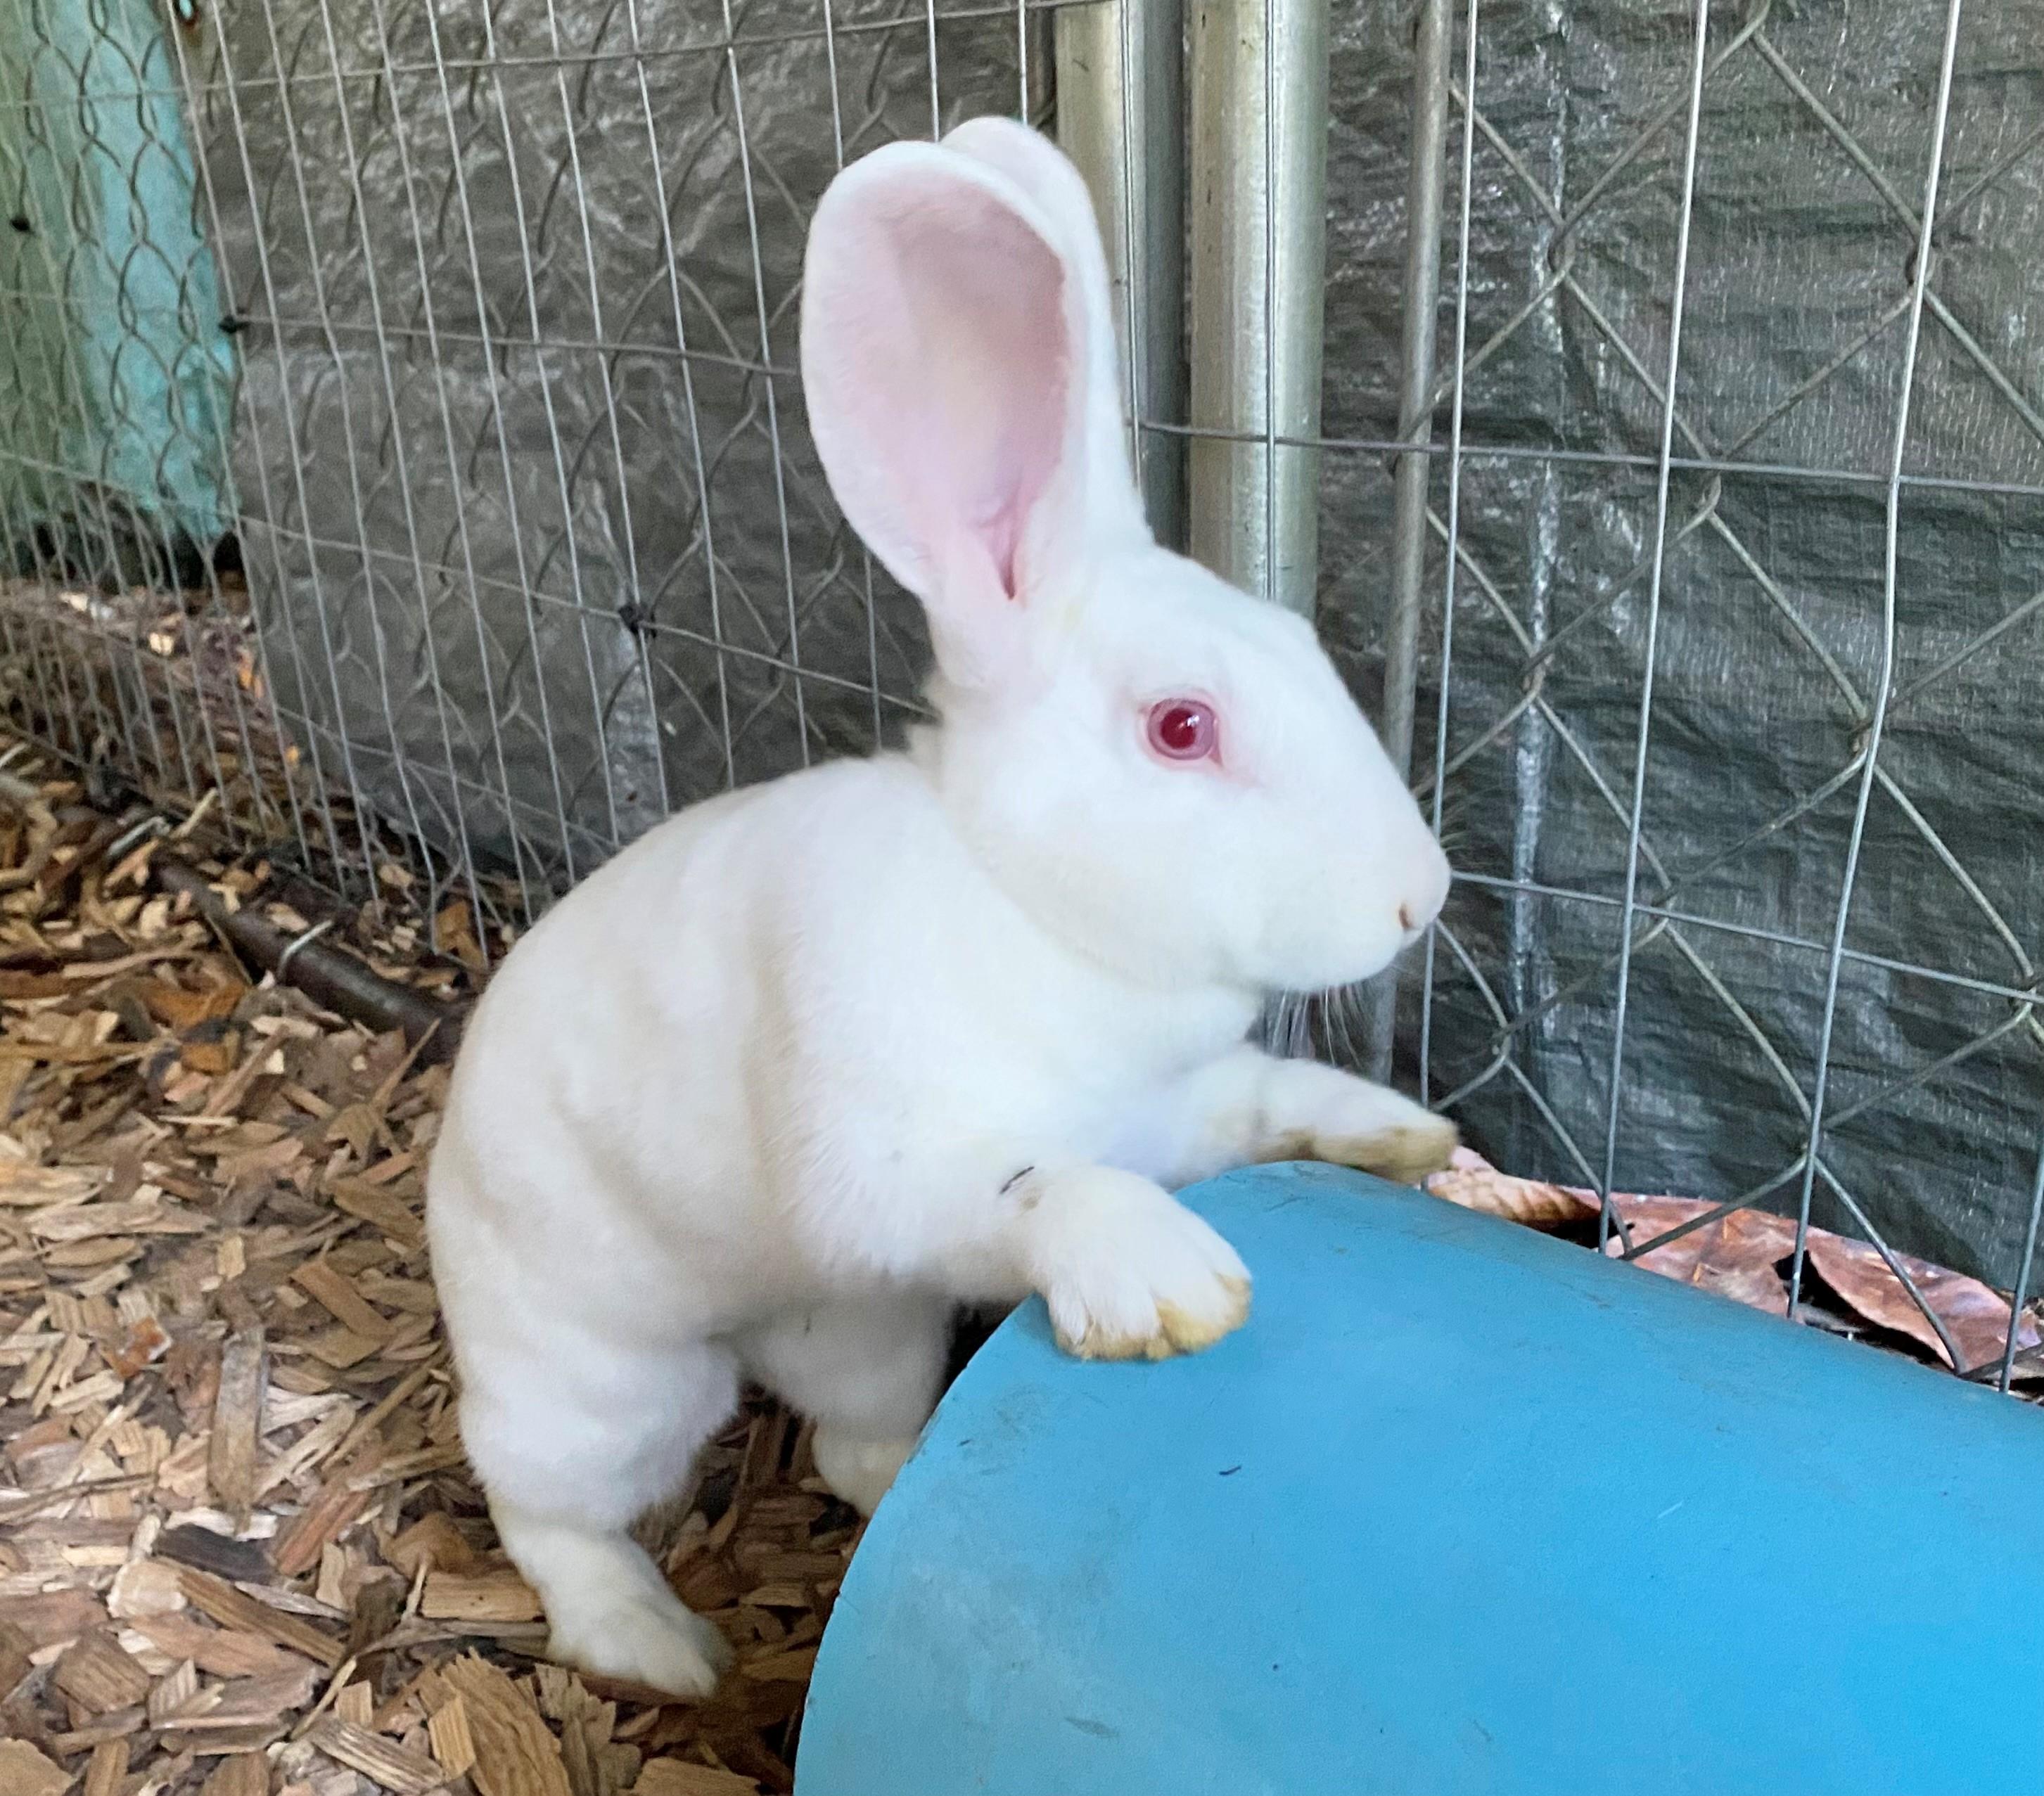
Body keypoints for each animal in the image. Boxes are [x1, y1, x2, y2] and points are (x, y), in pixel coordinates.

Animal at [424, 115, 1457, 1701]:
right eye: (1181, 727)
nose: (1420, 895)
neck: (1020, 899)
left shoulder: (1180, 1104)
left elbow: (1268, 1094)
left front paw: (1406, 1137)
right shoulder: (894, 1149)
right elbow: (1035, 1187)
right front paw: (1173, 1290)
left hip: (862, 1328)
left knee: (853, 1441)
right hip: (597, 1379)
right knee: (548, 1506)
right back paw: (663, 1648)